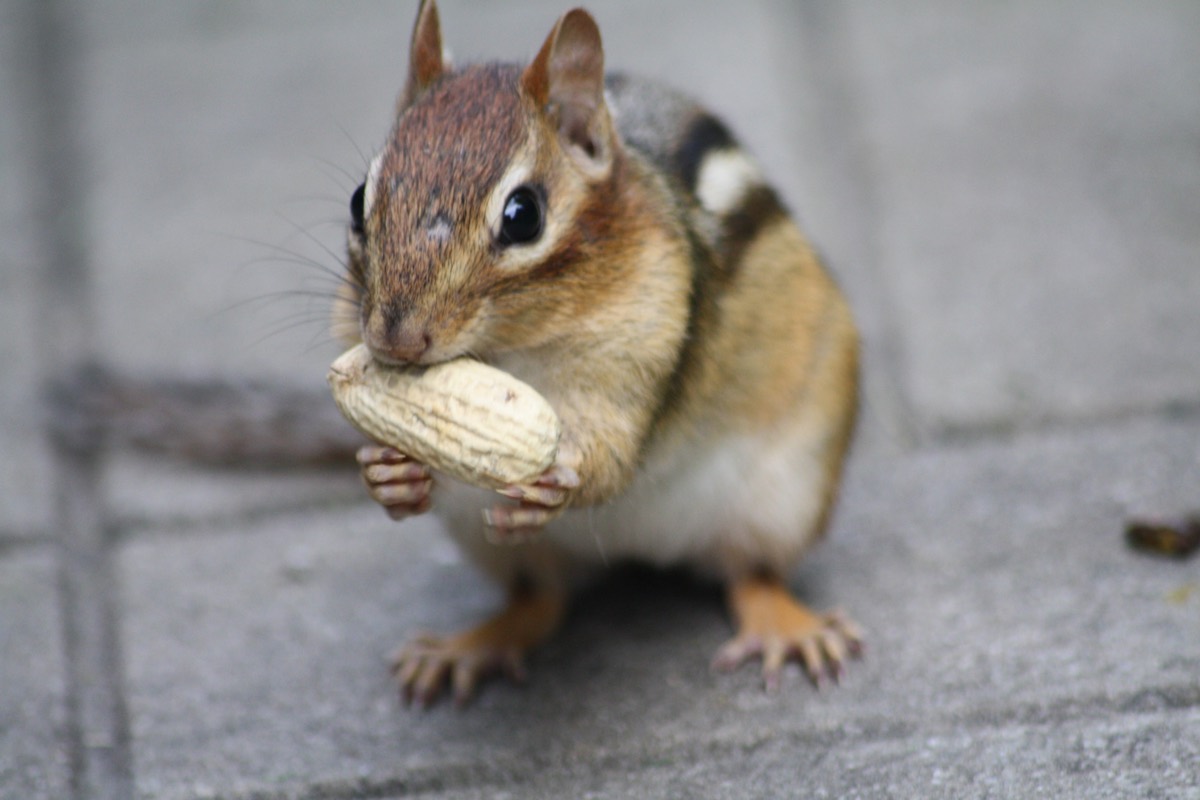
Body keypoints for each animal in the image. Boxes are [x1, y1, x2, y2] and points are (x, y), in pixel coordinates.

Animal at [331, 0, 863, 707]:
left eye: (523, 215)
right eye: (358, 201)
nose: (395, 339)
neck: (512, 352)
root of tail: (645, 549)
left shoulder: (645, 346)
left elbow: (614, 455)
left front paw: (560, 480)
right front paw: (388, 473)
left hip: (785, 491)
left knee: (750, 573)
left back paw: (786, 627)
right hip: (488, 539)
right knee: (540, 601)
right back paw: (473, 645)